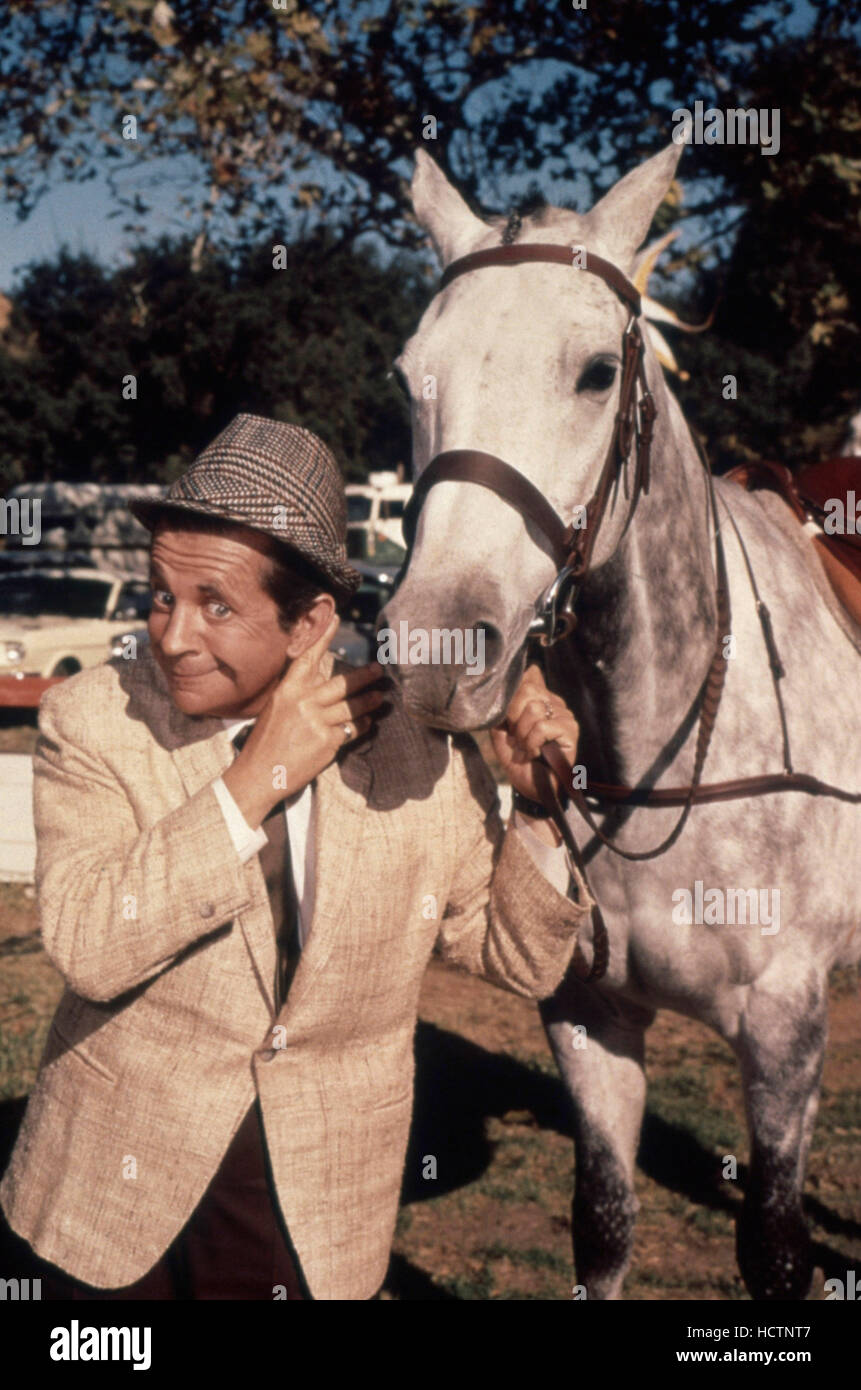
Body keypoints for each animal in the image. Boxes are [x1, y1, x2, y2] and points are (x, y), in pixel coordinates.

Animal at [382, 142, 861, 1300]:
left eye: (598, 372)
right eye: (410, 376)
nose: (433, 649)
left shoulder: (784, 1028)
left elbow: (776, 1248)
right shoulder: (587, 1018)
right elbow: (602, 1224)